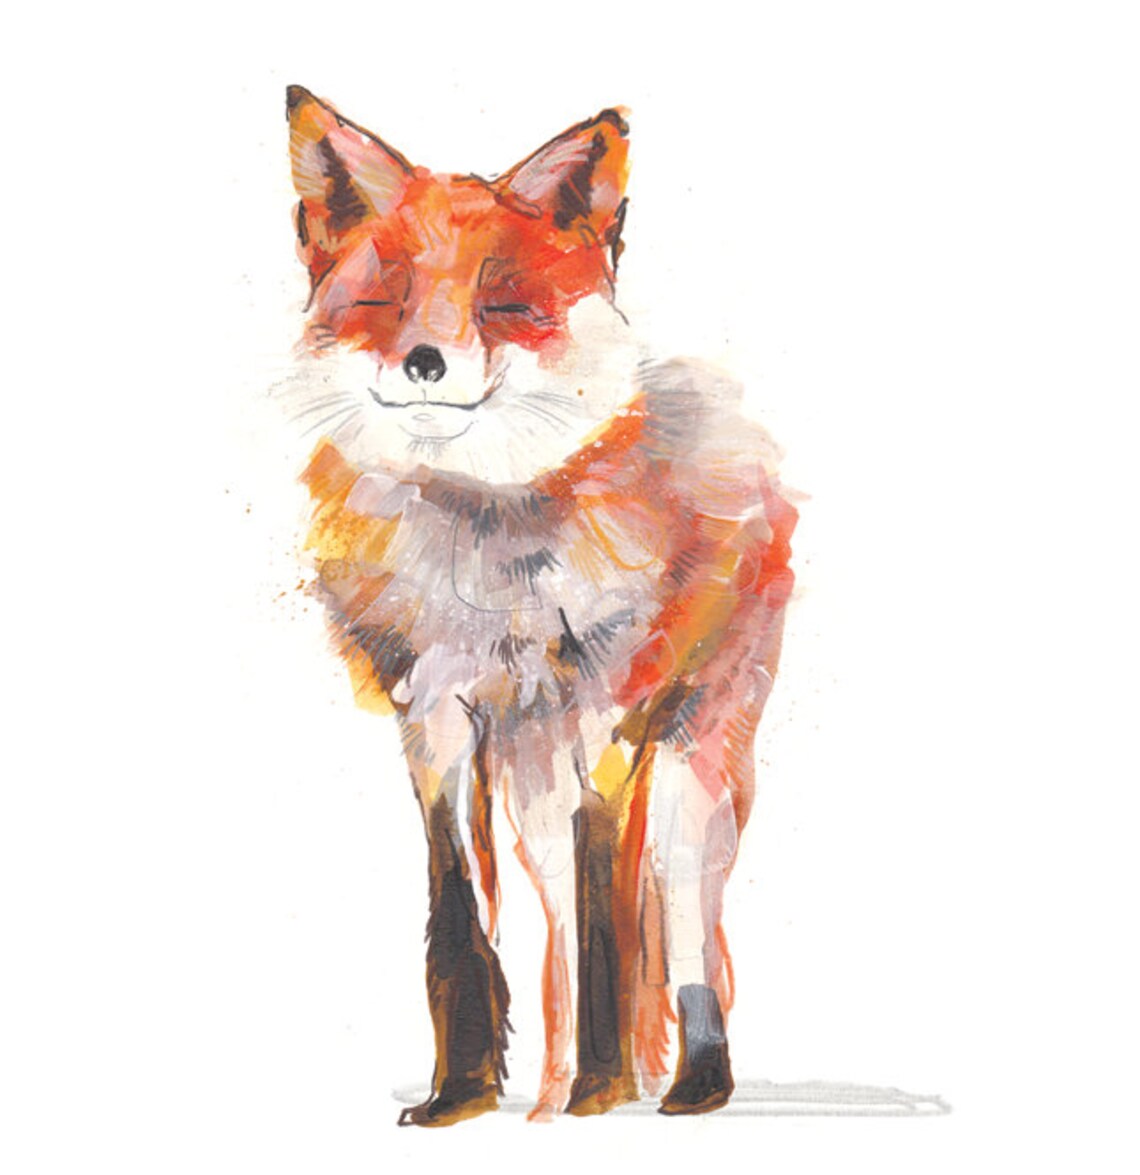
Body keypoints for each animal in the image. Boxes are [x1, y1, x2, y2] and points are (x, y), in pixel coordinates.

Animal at [281, 86, 797, 1125]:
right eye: (385, 299)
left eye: (504, 304)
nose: (425, 361)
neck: (482, 566)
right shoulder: (435, 719)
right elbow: (461, 917)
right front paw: (461, 1094)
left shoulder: (600, 727)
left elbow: (607, 926)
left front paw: (599, 1095)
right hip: (531, 780)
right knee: (561, 911)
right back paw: (568, 1083)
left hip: (683, 765)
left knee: (681, 925)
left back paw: (684, 1082)